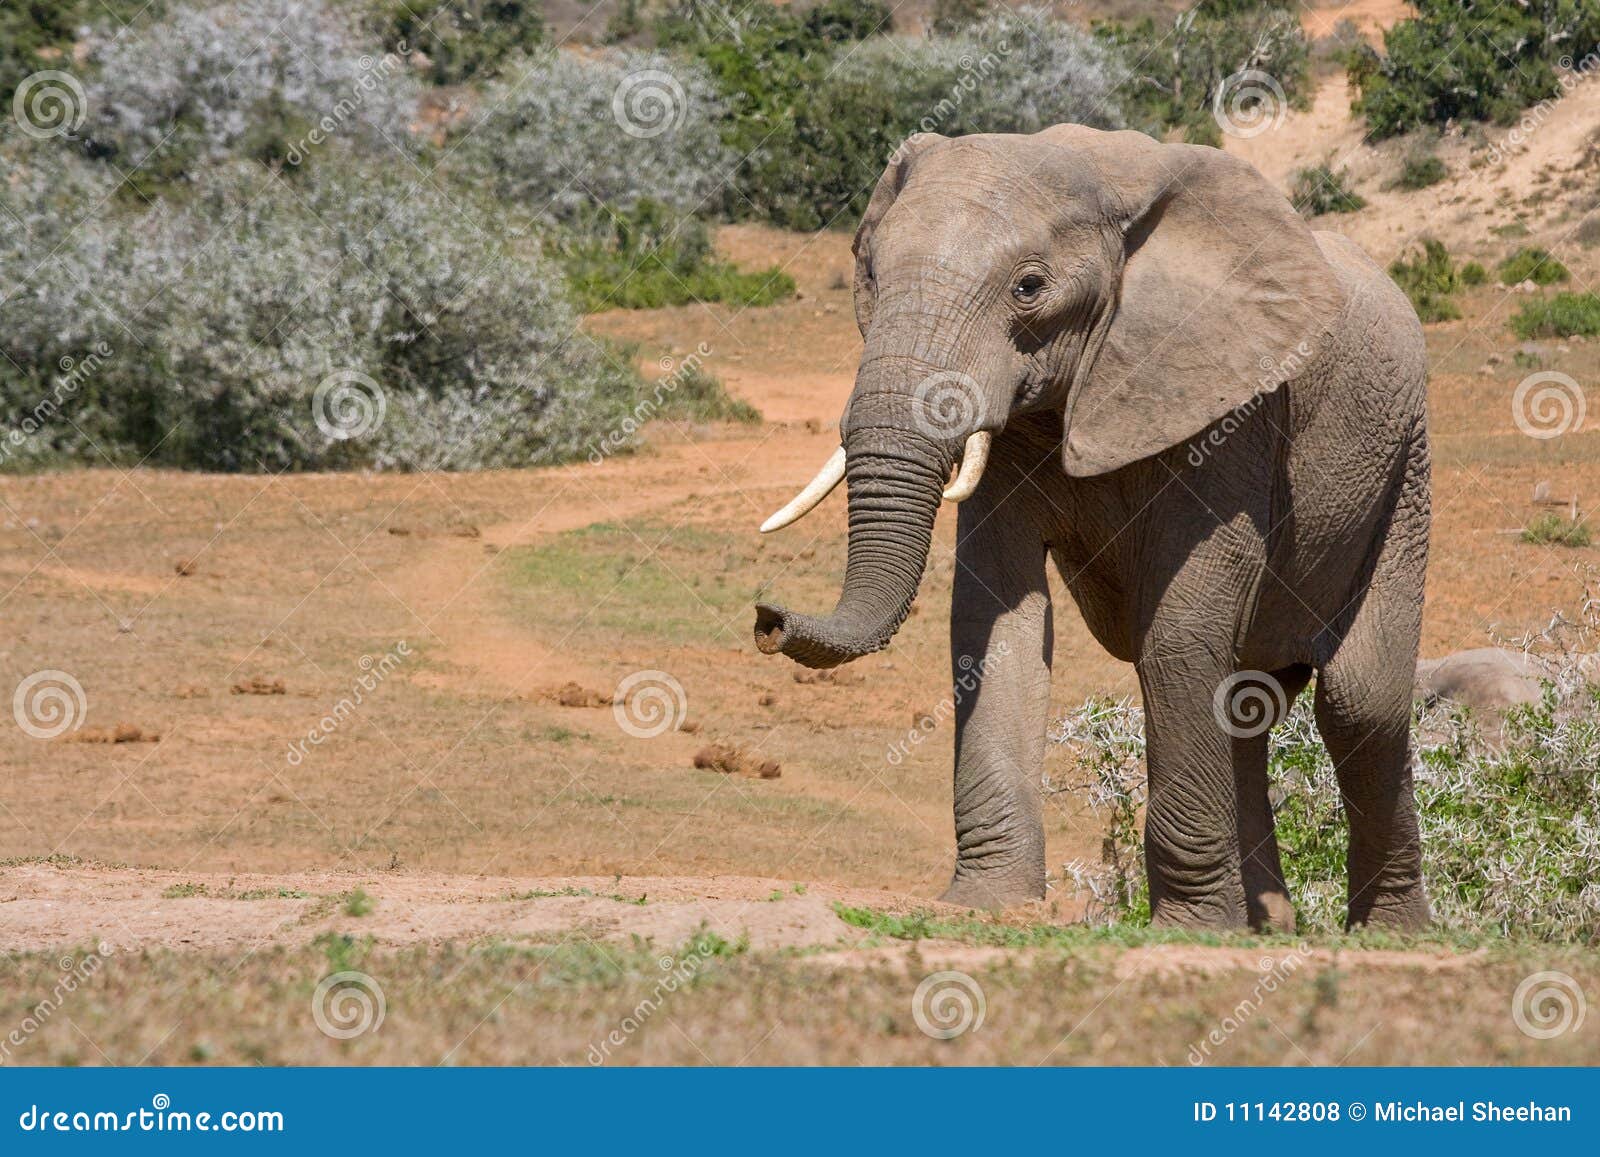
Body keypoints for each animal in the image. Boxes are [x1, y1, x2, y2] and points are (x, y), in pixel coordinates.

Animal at [752, 126, 1431, 932]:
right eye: (871, 275)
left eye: (1029, 288)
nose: (766, 617)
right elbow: (995, 619)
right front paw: (988, 902)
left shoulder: (1233, 411)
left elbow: (1180, 633)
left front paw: (1189, 932)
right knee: (1250, 702)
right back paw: (1267, 926)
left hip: (1403, 470)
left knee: (1360, 704)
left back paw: (1390, 932)